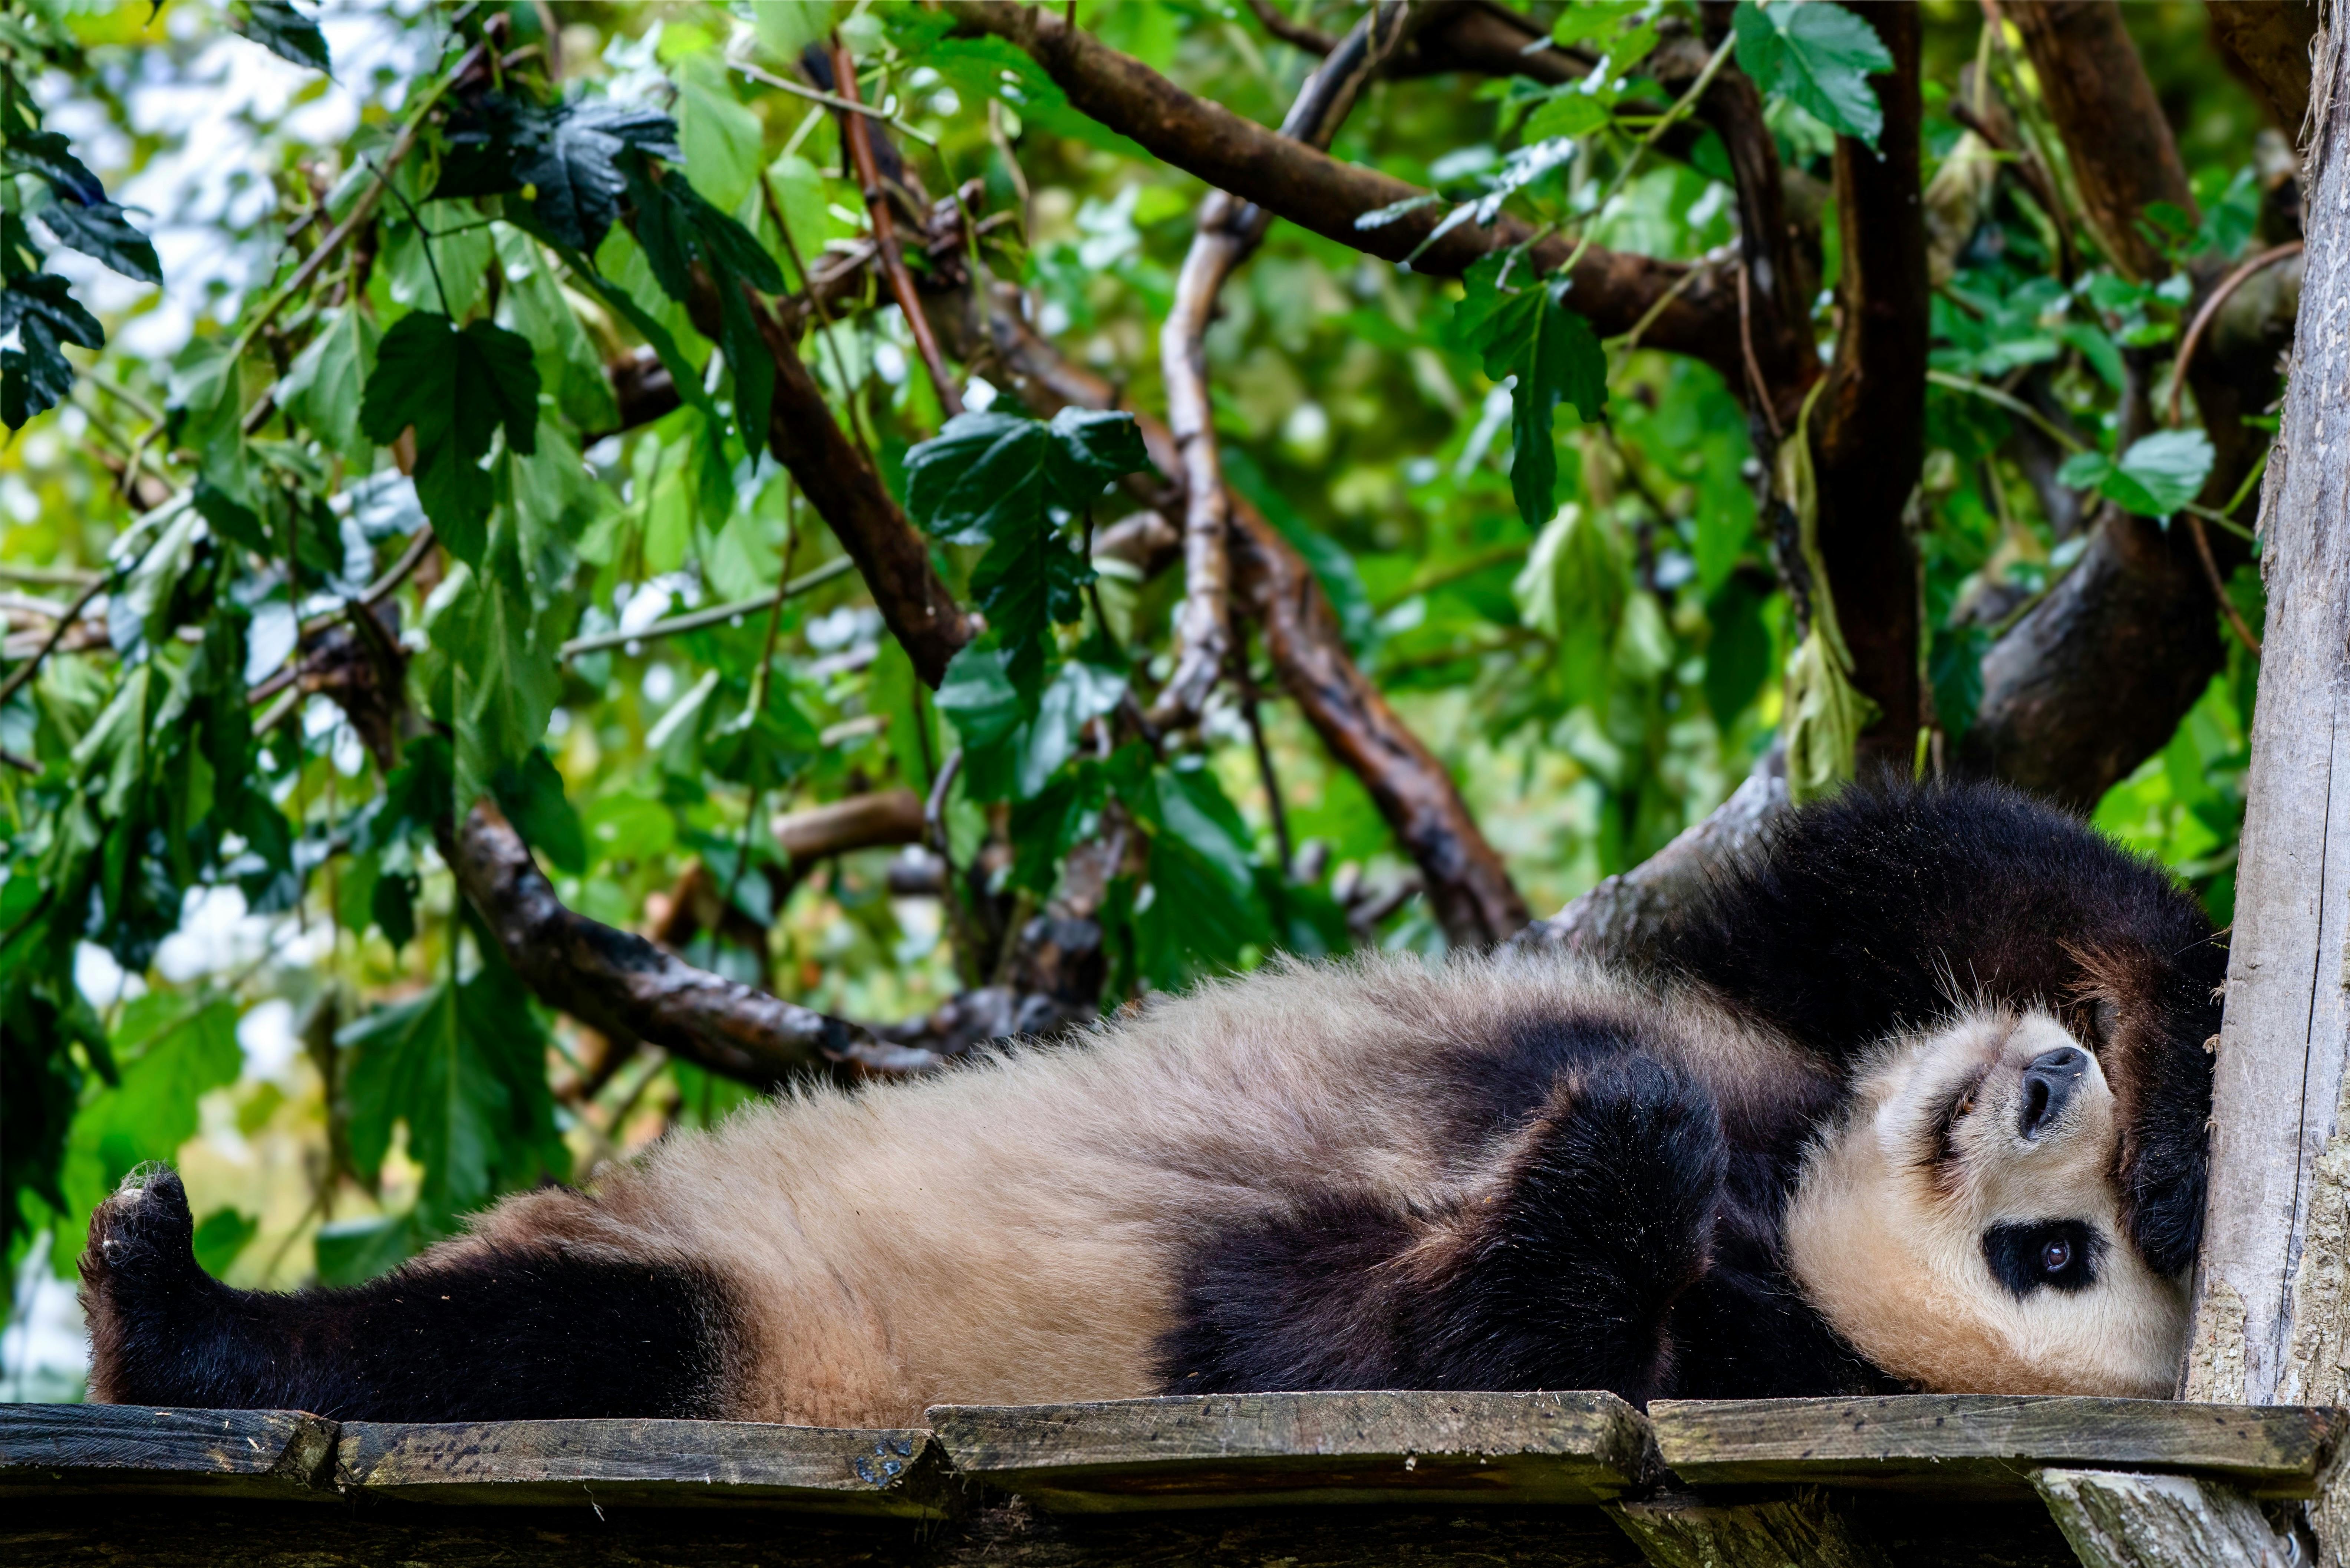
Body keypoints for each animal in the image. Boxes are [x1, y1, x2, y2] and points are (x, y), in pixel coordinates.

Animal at [78, 781, 2223, 1426]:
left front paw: (1617, 1149)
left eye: (2045, 1263)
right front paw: (2175, 1095)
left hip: (777, 1338)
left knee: (543, 1346)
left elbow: (1379, 1351)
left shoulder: (1720, 1353)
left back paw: (168, 1317)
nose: (2037, 1083)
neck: (1798, 1190)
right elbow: (1856, 867)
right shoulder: (1744, 1007)